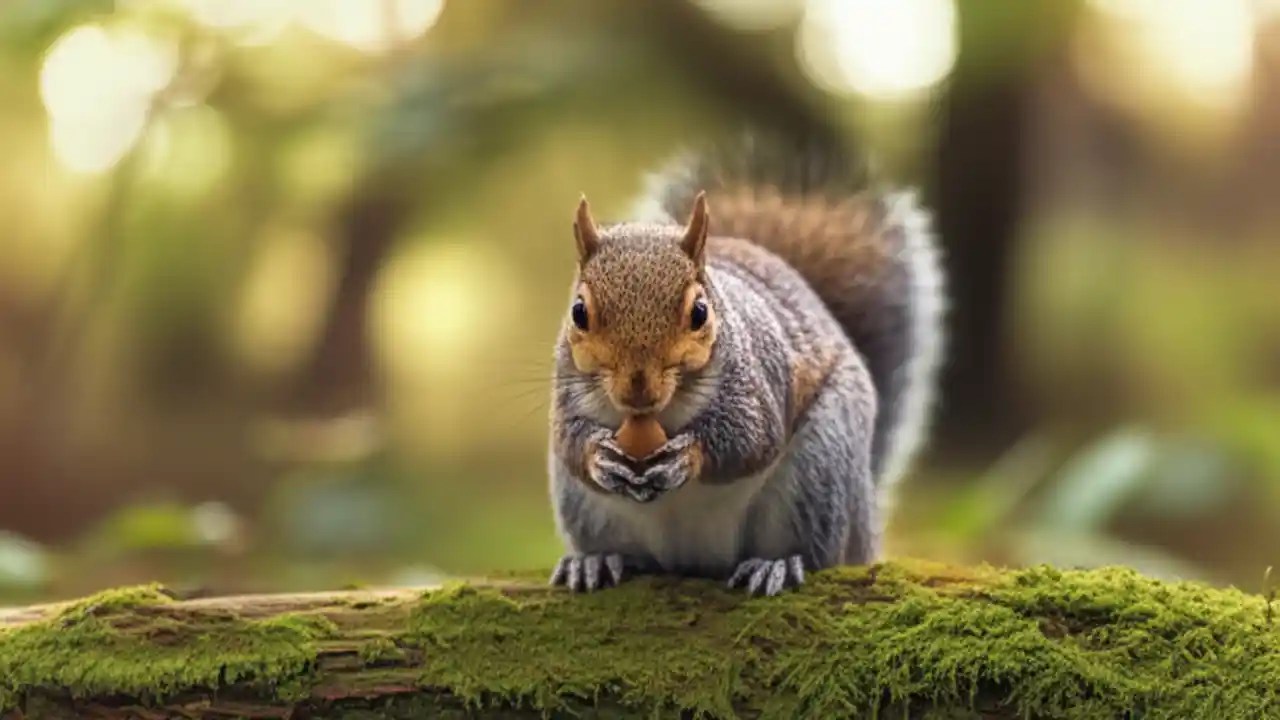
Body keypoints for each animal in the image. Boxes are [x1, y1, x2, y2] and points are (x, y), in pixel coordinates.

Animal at [546, 132, 945, 596]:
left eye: (699, 312)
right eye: (578, 312)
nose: (638, 390)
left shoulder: (759, 380)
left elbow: (751, 437)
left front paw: (686, 456)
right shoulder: (566, 388)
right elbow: (568, 439)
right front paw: (598, 456)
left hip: (819, 472)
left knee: (816, 551)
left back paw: (777, 565)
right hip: (586, 507)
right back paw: (596, 560)